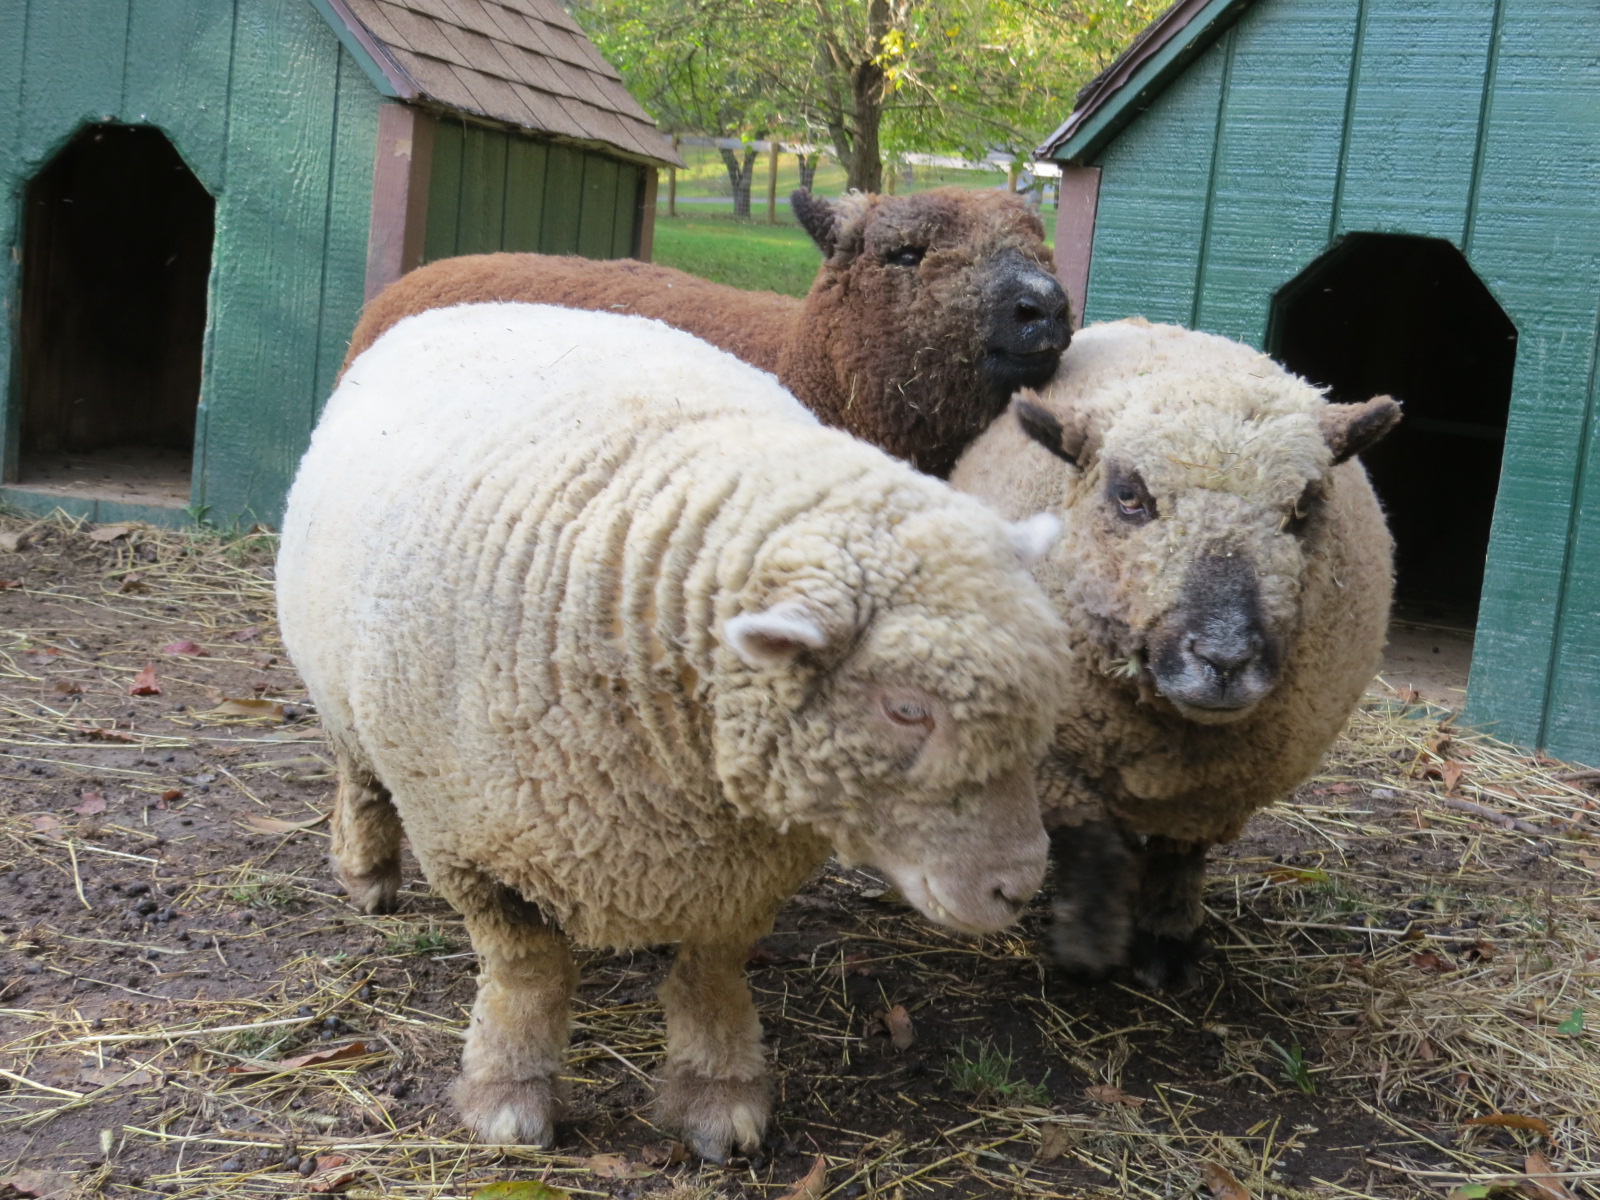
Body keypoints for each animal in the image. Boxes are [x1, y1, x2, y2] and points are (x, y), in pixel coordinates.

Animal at [279, 302, 1073, 1158]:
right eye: (905, 708)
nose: (1016, 885)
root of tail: (470, 305)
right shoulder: (471, 845)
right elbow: (529, 973)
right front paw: (507, 1095)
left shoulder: (742, 868)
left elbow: (710, 974)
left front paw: (718, 1097)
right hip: (345, 702)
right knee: (359, 777)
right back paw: (366, 871)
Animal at [949, 318, 1401, 990]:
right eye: (1130, 496)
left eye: (1302, 507)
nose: (1225, 660)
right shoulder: (1056, 760)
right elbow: (1090, 840)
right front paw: (1089, 943)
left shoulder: (1212, 791)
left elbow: (1180, 856)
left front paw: (1167, 942)